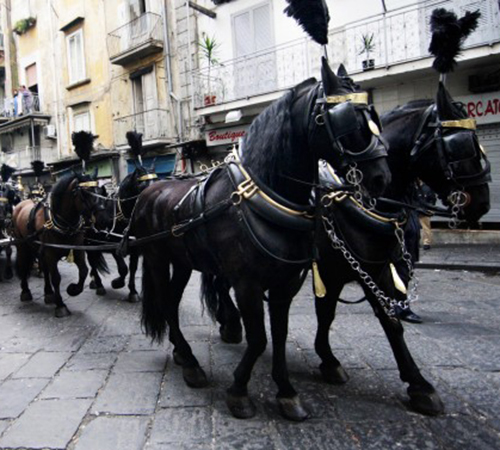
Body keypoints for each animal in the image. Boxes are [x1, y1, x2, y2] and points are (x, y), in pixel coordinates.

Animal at [11, 171, 104, 318]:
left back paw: (49, 293)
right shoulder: (51, 253)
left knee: (43, 268)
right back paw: (25, 291)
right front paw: (60, 305)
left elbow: (83, 270)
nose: (101, 218)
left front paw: (73, 289)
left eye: (99, 191)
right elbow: (56, 277)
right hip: (22, 245)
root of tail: (20, 204)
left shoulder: (77, 250)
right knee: (23, 265)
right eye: (85, 193)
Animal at [131, 58, 392, 420]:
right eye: (348, 118)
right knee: (165, 303)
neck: (265, 198)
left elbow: (279, 335)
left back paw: (185, 356)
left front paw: (286, 392)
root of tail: (150, 189)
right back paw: (192, 364)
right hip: (156, 259)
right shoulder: (247, 285)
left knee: (170, 302)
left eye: (373, 114)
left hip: (183, 262)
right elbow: (258, 339)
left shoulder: (284, 285)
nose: (382, 177)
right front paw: (239, 391)